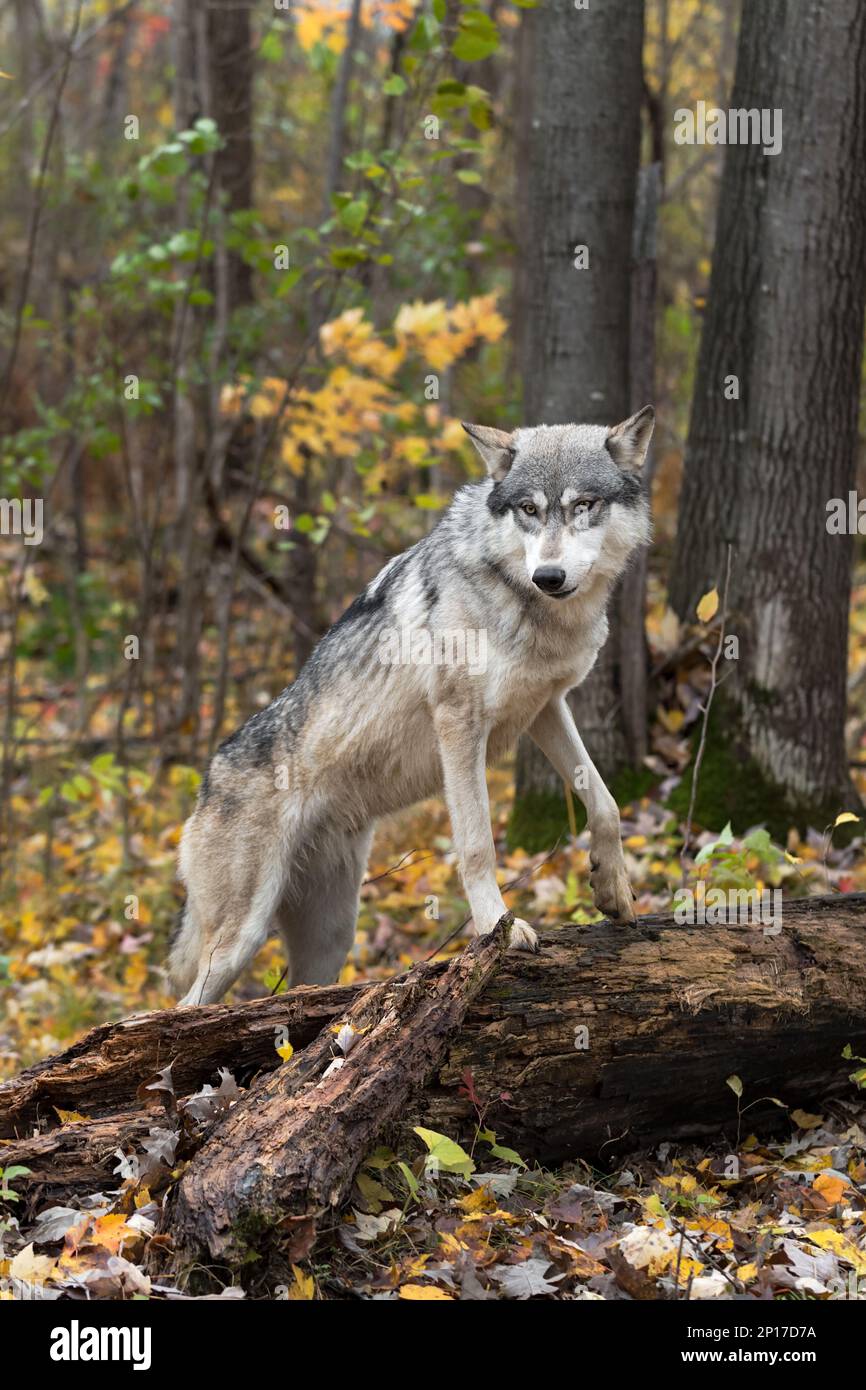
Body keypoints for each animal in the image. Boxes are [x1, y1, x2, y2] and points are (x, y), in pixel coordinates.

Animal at [169, 405, 654, 1005]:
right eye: (529, 510)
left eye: (583, 505)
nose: (548, 576)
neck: (516, 594)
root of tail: (207, 778)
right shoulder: (458, 723)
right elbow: (477, 844)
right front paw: (498, 927)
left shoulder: (546, 707)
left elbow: (606, 802)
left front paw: (613, 889)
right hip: (240, 940)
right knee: (181, 1004)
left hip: (332, 935)